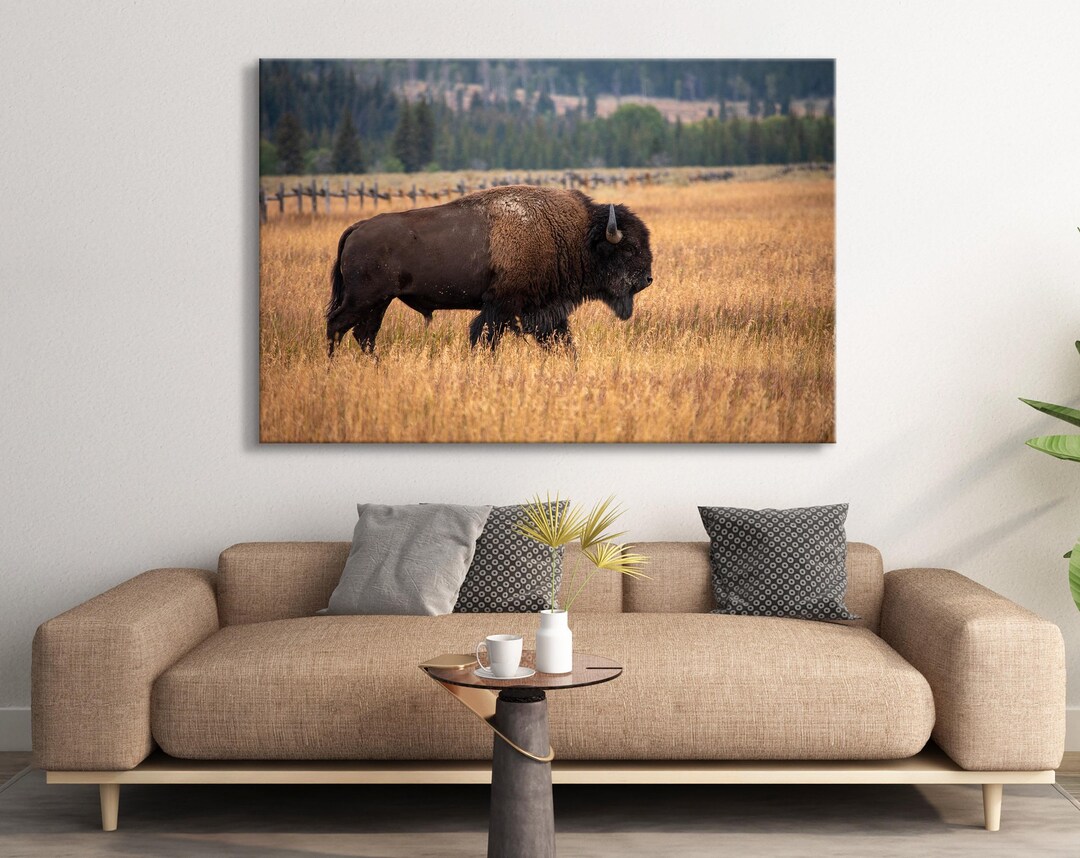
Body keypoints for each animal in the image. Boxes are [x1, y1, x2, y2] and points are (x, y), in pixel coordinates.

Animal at [325, 185, 653, 356]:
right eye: (628, 248)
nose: (647, 279)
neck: (573, 235)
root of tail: (357, 228)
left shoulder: (544, 310)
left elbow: (561, 339)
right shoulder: (501, 305)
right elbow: (485, 336)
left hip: (379, 302)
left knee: (364, 334)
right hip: (364, 299)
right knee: (337, 325)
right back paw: (332, 368)